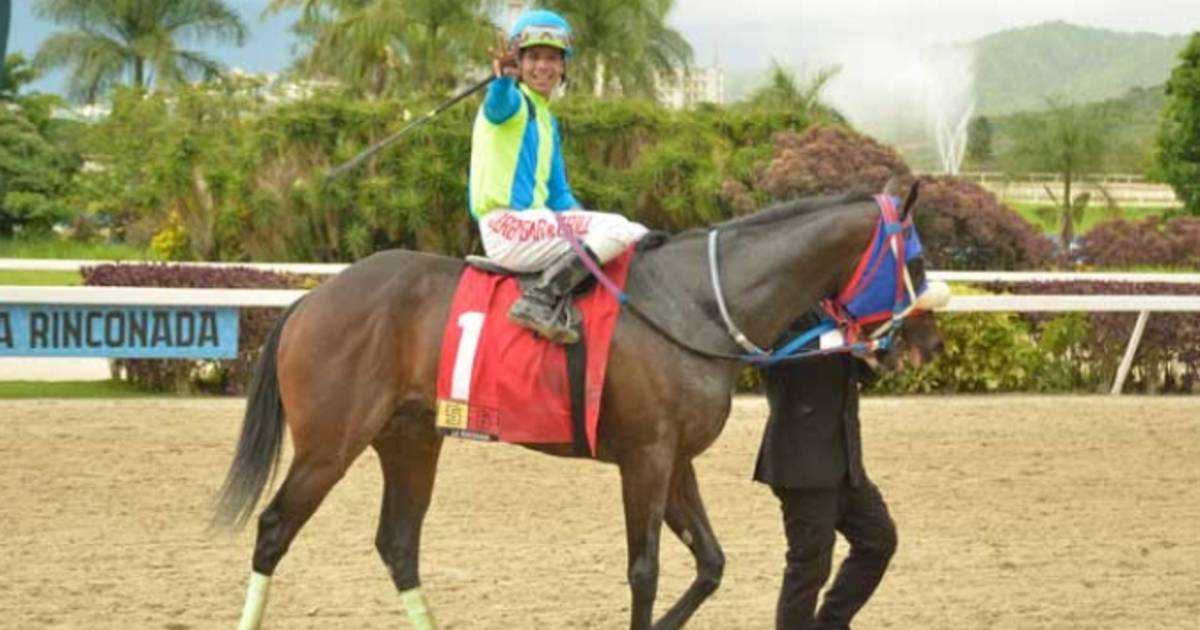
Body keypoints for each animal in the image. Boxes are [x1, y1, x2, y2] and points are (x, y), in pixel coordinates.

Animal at [215, 186, 946, 630]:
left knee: (398, 544)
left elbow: (710, 563)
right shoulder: (645, 458)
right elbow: (645, 571)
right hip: (330, 444)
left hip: (410, 438)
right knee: (275, 529)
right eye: (913, 259)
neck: (698, 300)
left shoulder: (674, 460)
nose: (929, 341)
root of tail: (312, 297)